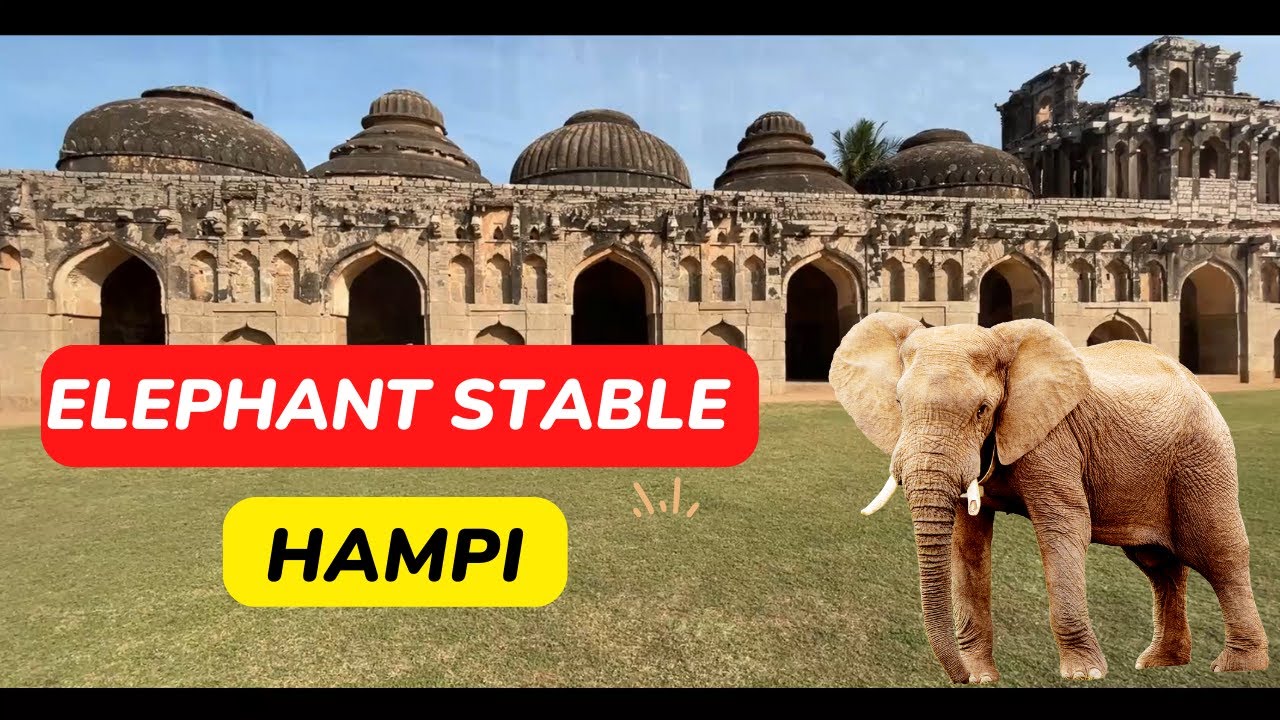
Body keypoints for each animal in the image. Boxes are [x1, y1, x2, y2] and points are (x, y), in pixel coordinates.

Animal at [828, 311, 1269, 684]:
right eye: (899, 404)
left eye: (982, 409)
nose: (960, 679)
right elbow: (967, 543)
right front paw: (983, 677)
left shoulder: (1054, 439)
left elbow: (1064, 527)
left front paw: (1084, 675)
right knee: (1157, 563)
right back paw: (1159, 663)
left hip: (1203, 455)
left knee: (1218, 552)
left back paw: (1237, 666)